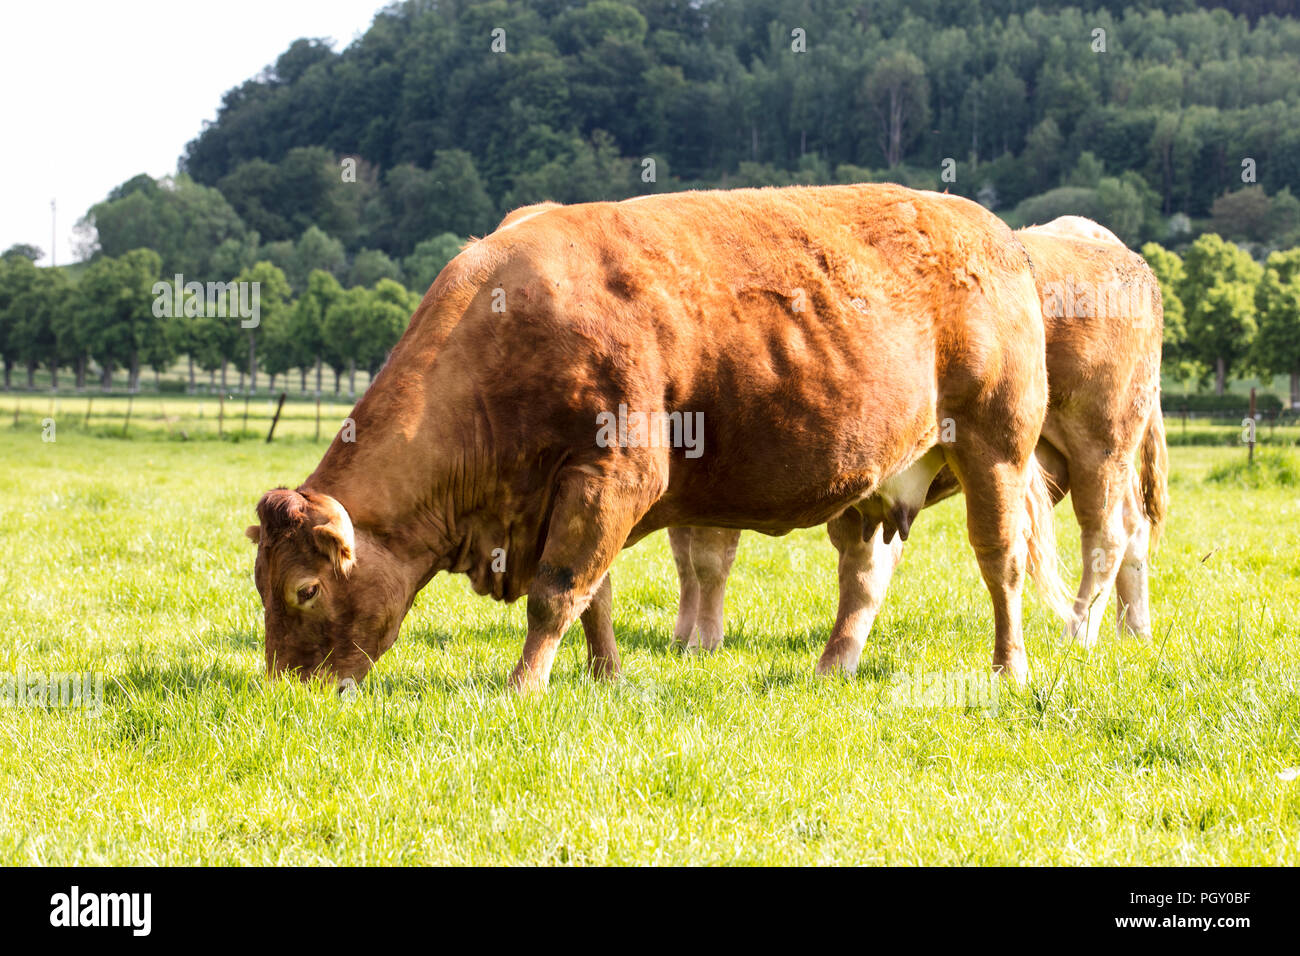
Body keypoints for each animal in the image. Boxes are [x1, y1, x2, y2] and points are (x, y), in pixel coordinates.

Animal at [246, 183, 1072, 692]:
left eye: (305, 589)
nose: (289, 693)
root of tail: (993, 232)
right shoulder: (571, 495)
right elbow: (596, 595)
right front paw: (603, 676)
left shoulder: (614, 473)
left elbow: (559, 591)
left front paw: (523, 685)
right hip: (870, 482)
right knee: (864, 577)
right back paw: (831, 668)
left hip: (994, 448)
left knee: (1002, 563)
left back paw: (1009, 669)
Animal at [668, 216, 1168, 676]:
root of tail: (1127, 258)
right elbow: (686, 561)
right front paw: (683, 637)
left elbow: (708, 562)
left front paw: (701, 645)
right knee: (1135, 530)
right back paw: (1135, 631)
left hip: (1100, 445)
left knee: (1105, 537)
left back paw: (1078, 634)